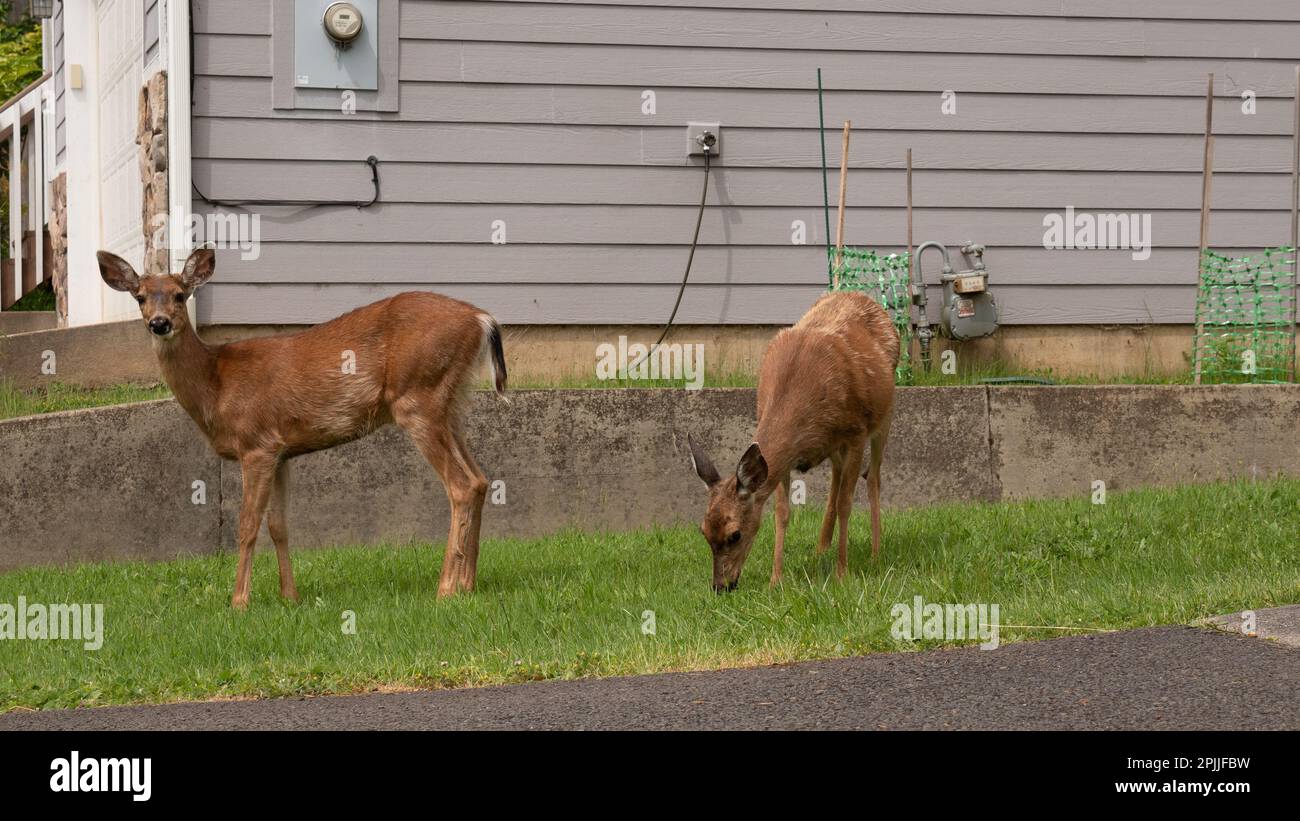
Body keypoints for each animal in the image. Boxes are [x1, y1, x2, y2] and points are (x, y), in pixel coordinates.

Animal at [96, 247, 507, 609]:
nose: (159, 323)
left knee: (461, 485)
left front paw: (239, 602)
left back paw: (445, 589)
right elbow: (279, 525)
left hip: (417, 398)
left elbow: (247, 524)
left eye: (180, 295)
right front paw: (289, 597)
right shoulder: (282, 451)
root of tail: (482, 319)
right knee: (480, 479)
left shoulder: (256, 444)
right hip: (450, 404)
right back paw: (468, 585)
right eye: (140, 297)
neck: (216, 385)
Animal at [688, 291, 898, 592]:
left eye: (735, 534)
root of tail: (860, 295)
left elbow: (847, 503)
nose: (721, 586)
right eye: (703, 531)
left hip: (884, 415)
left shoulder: (856, 432)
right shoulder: (786, 457)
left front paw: (842, 573)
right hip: (834, 444)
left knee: (873, 476)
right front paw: (776, 579)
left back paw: (875, 553)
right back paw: (822, 545)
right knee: (838, 474)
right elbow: (782, 511)